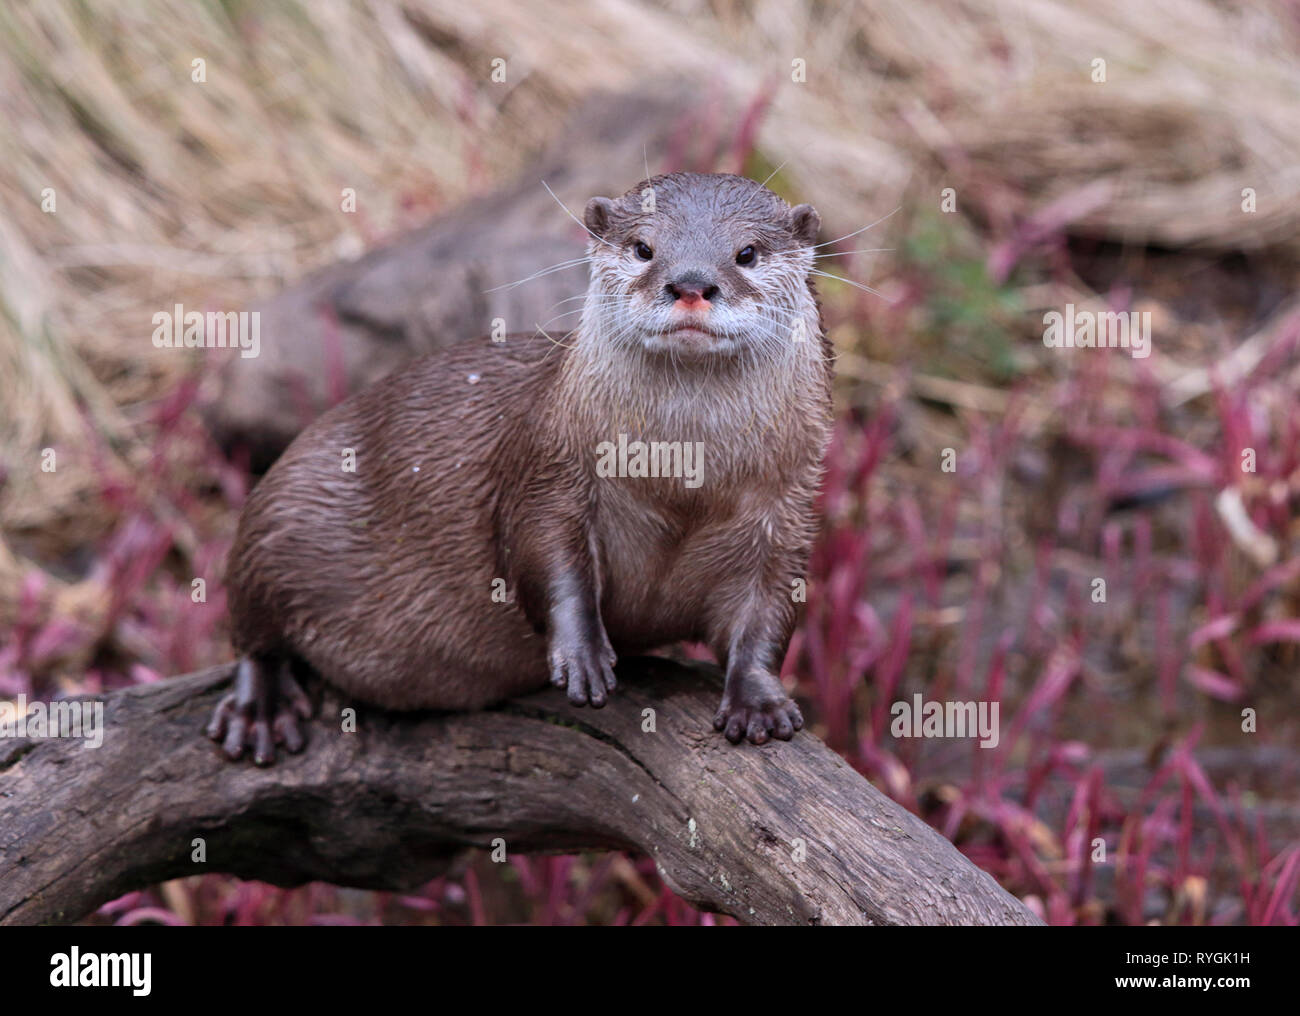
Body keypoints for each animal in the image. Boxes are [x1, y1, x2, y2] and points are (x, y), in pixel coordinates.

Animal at [207, 172, 833, 765]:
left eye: (747, 252)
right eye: (643, 248)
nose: (691, 283)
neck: (681, 481)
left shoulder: (787, 513)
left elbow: (768, 611)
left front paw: (758, 700)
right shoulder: (548, 465)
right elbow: (544, 557)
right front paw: (582, 656)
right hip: (280, 512)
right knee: (252, 625)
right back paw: (260, 709)